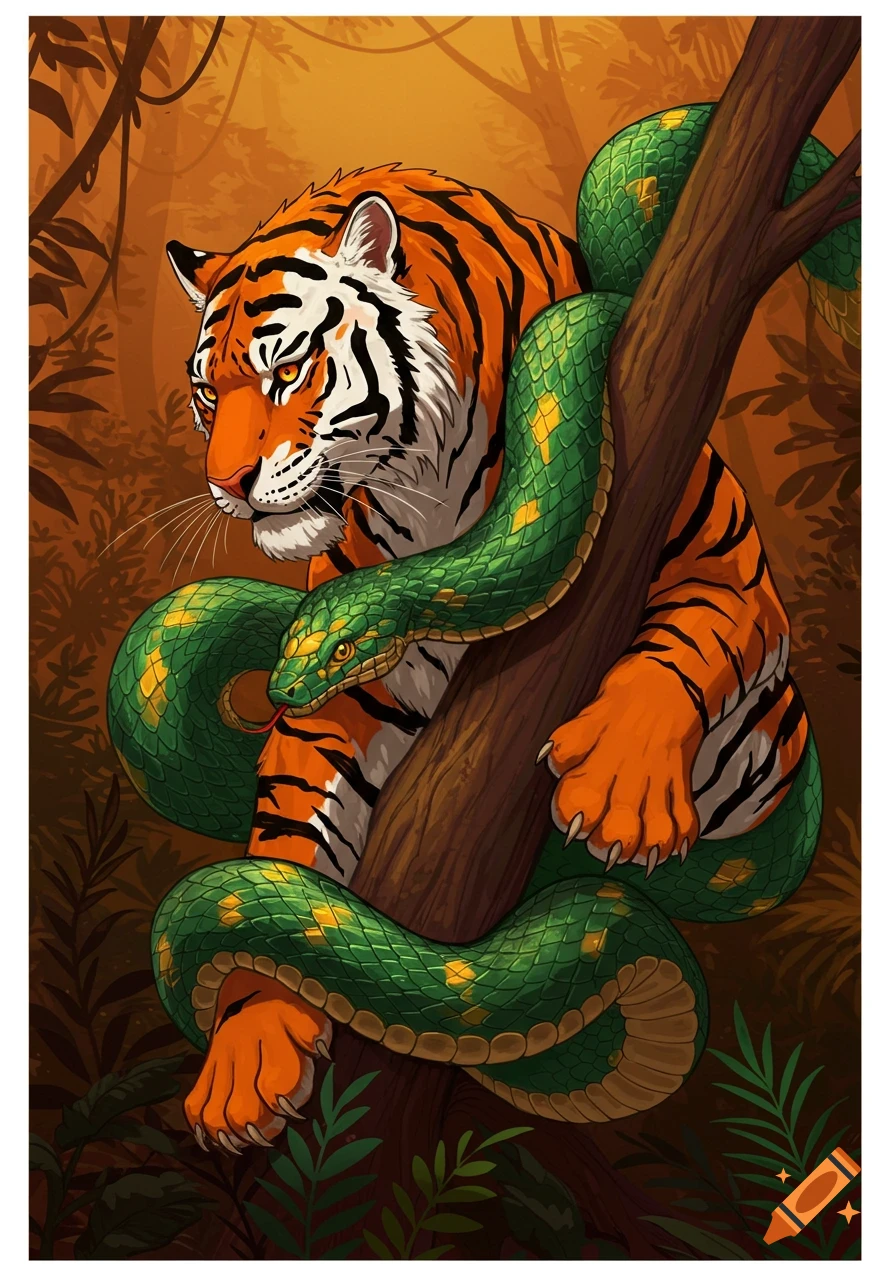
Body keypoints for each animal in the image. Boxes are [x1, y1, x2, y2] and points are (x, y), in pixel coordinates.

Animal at [164, 167, 808, 1150]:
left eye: (285, 370)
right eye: (207, 394)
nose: (226, 485)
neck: (422, 485)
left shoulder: (728, 574)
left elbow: (684, 646)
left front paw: (619, 789)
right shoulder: (355, 696)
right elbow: (289, 841)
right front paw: (251, 1044)